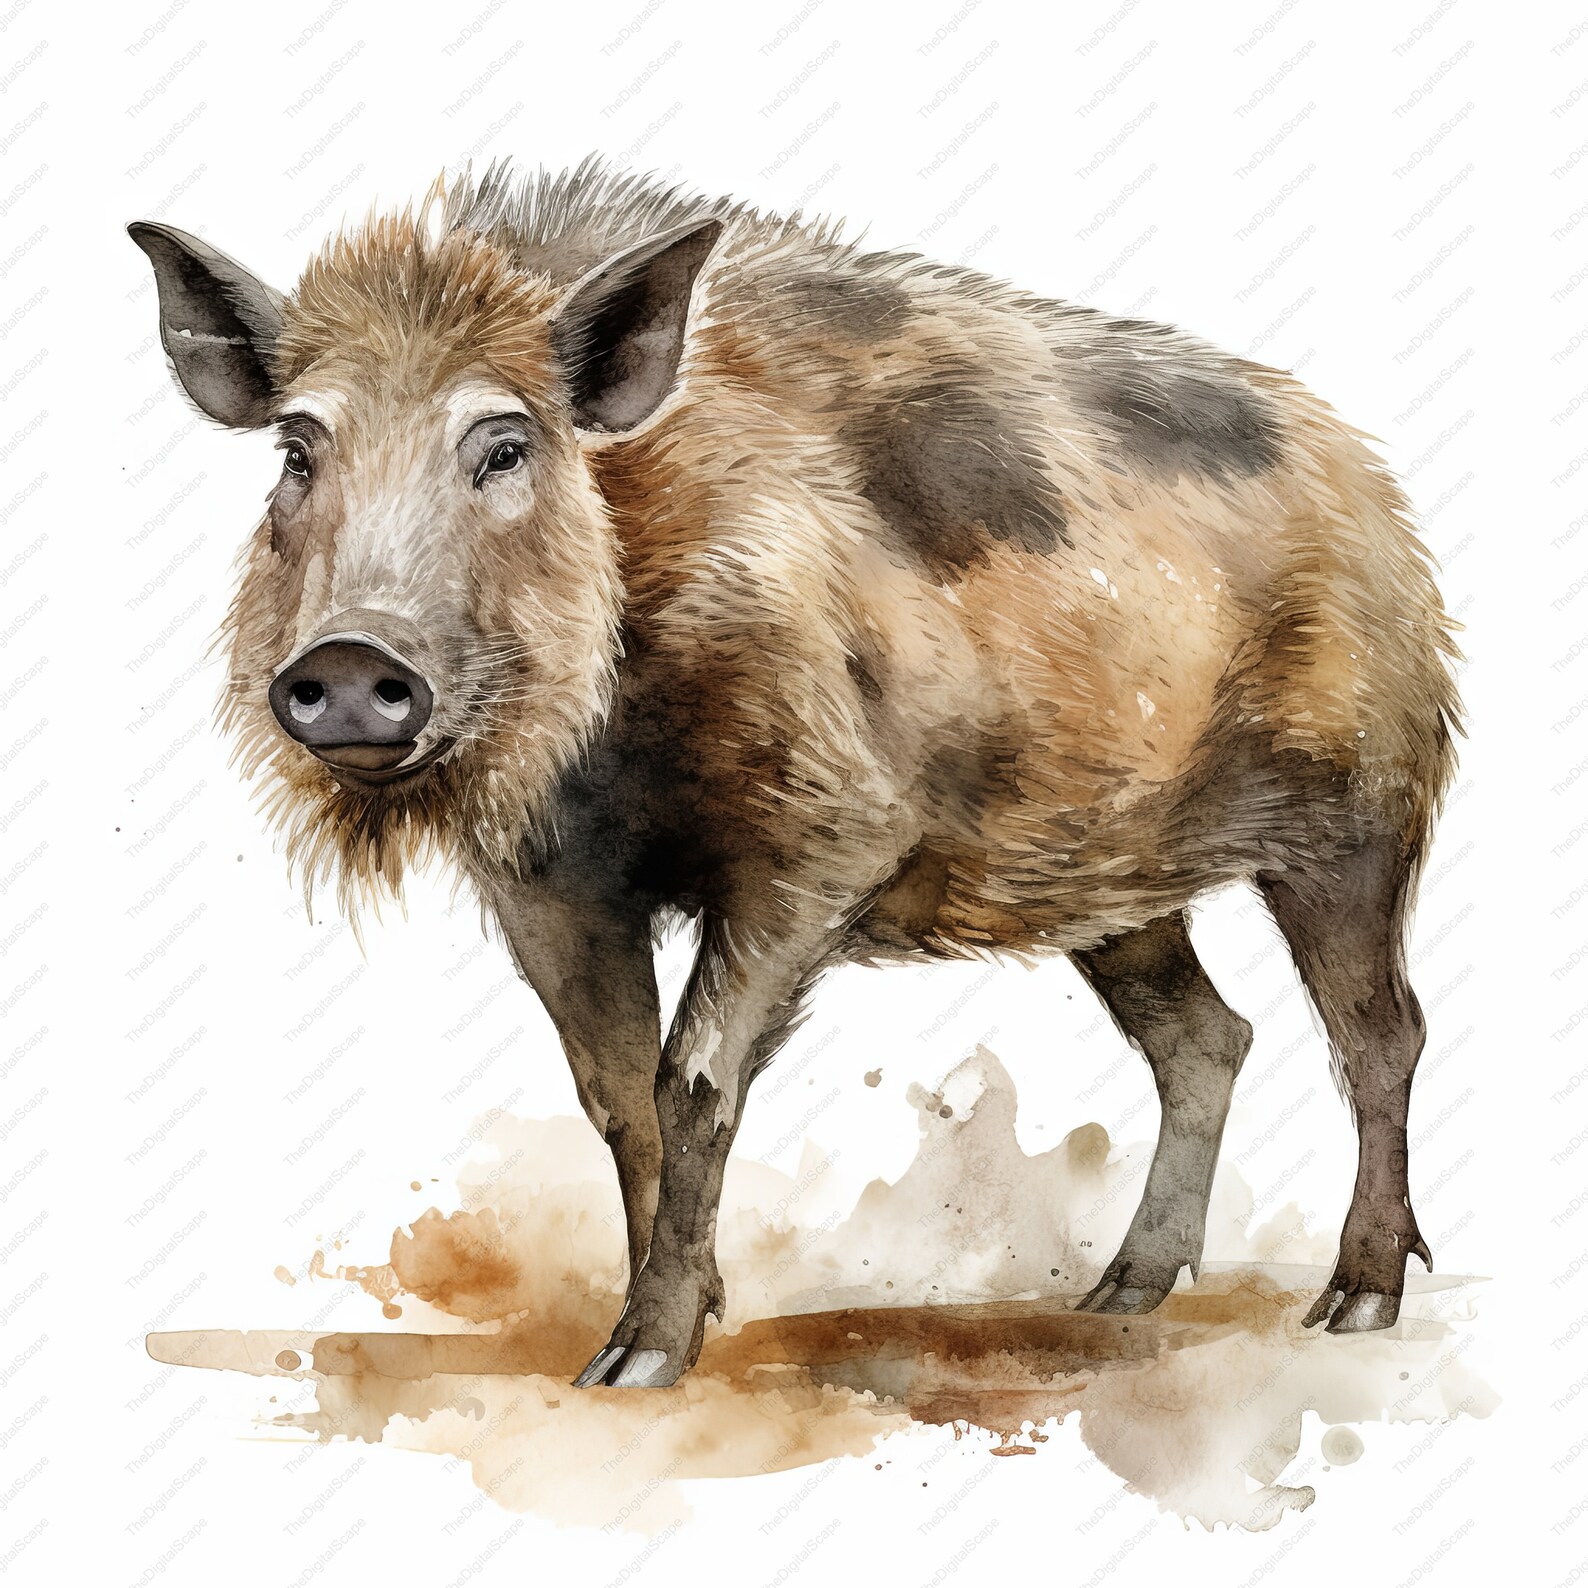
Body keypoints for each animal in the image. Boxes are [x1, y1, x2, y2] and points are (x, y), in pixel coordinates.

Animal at [129, 158, 1462, 1388]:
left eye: (503, 446)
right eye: (299, 451)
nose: (350, 660)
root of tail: (1376, 498)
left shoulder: (822, 840)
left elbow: (694, 1077)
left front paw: (638, 1364)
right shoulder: (547, 885)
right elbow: (614, 1094)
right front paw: (678, 1329)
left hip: (1359, 817)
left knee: (1380, 1033)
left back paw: (1353, 1306)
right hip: (1110, 884)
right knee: (1210, 1037)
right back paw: (1116, 1297)